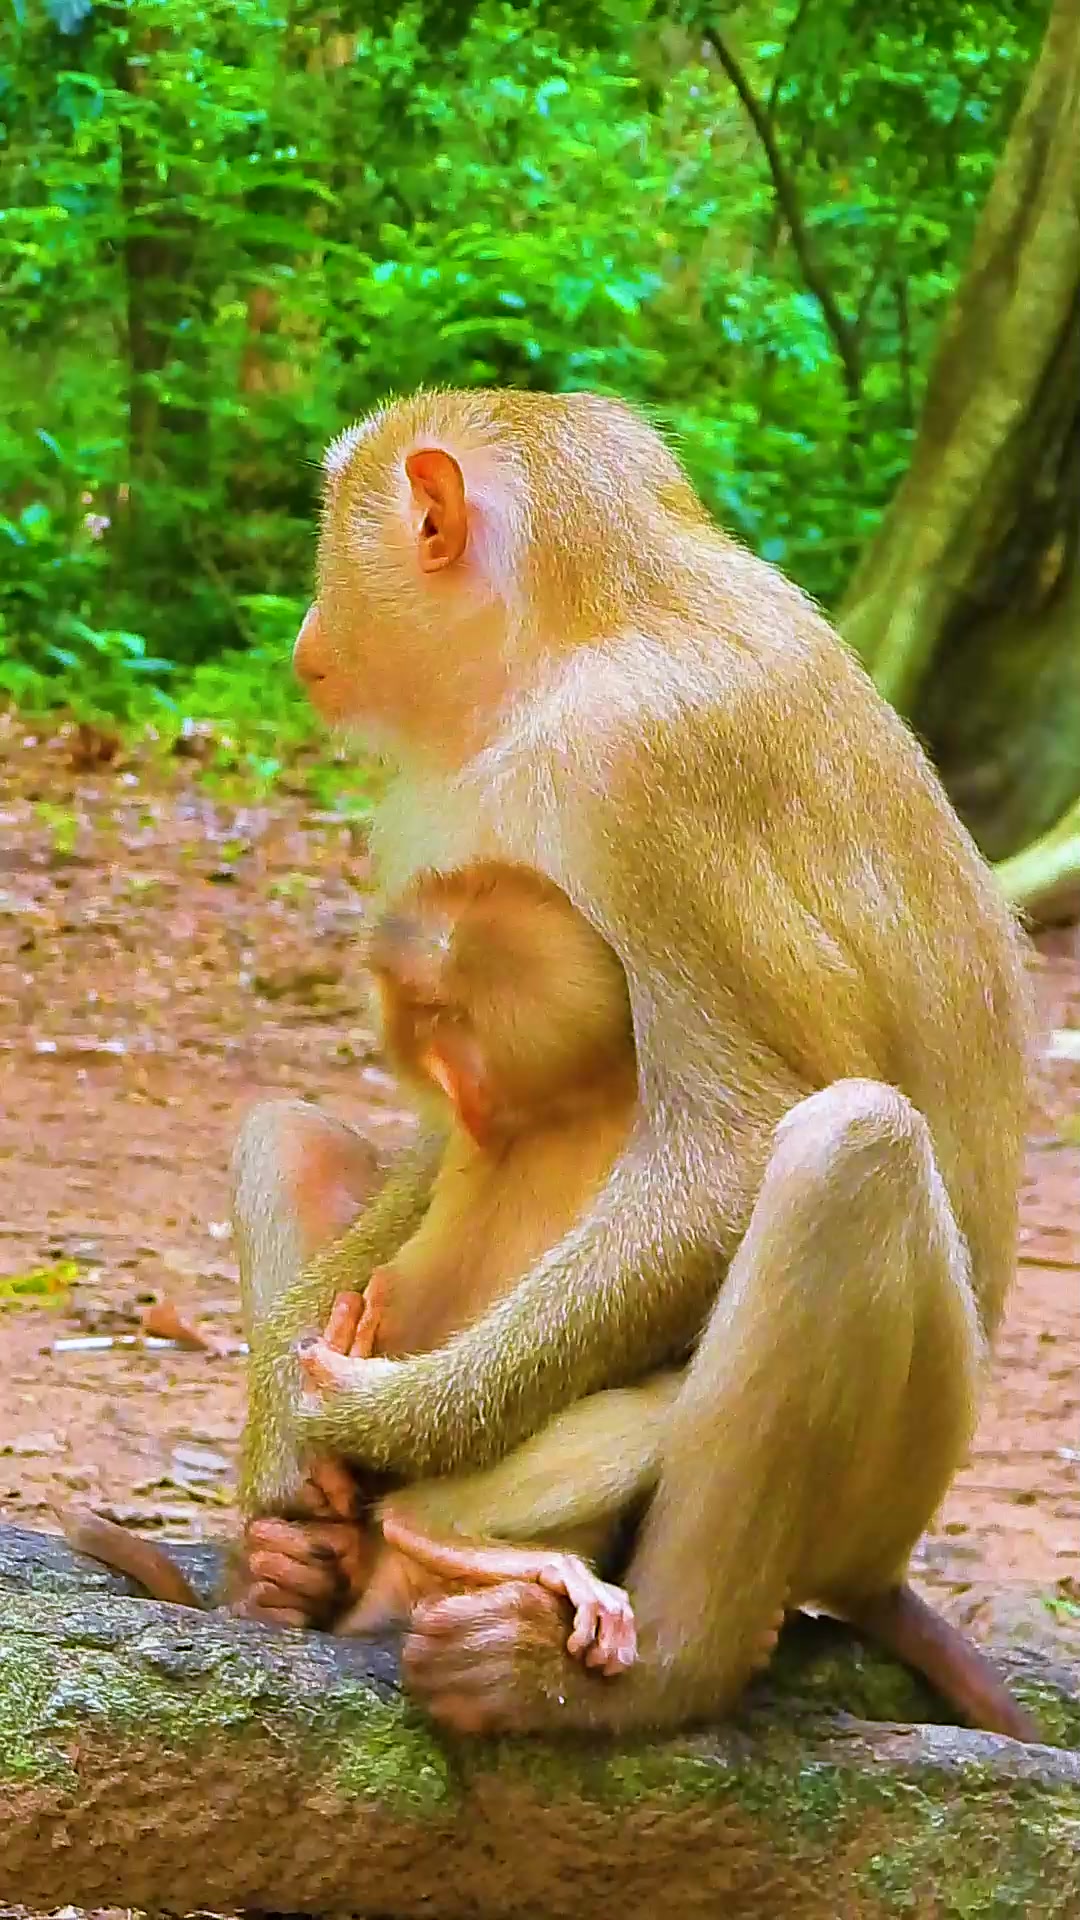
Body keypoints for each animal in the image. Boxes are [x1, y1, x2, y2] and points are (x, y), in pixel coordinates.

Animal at [222, 386, 1032, 1742]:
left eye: (333, 531)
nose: (303, 635)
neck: (587, 631)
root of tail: (887, 1568)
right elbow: (452, 1129)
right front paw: (289, 1416)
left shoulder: (641, 769)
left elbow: (733, 1142)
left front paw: (374, 1412)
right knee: (278, 1127)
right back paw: (294, 1577)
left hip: (894, 1483)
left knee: (847, 1150)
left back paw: (643, 1668)